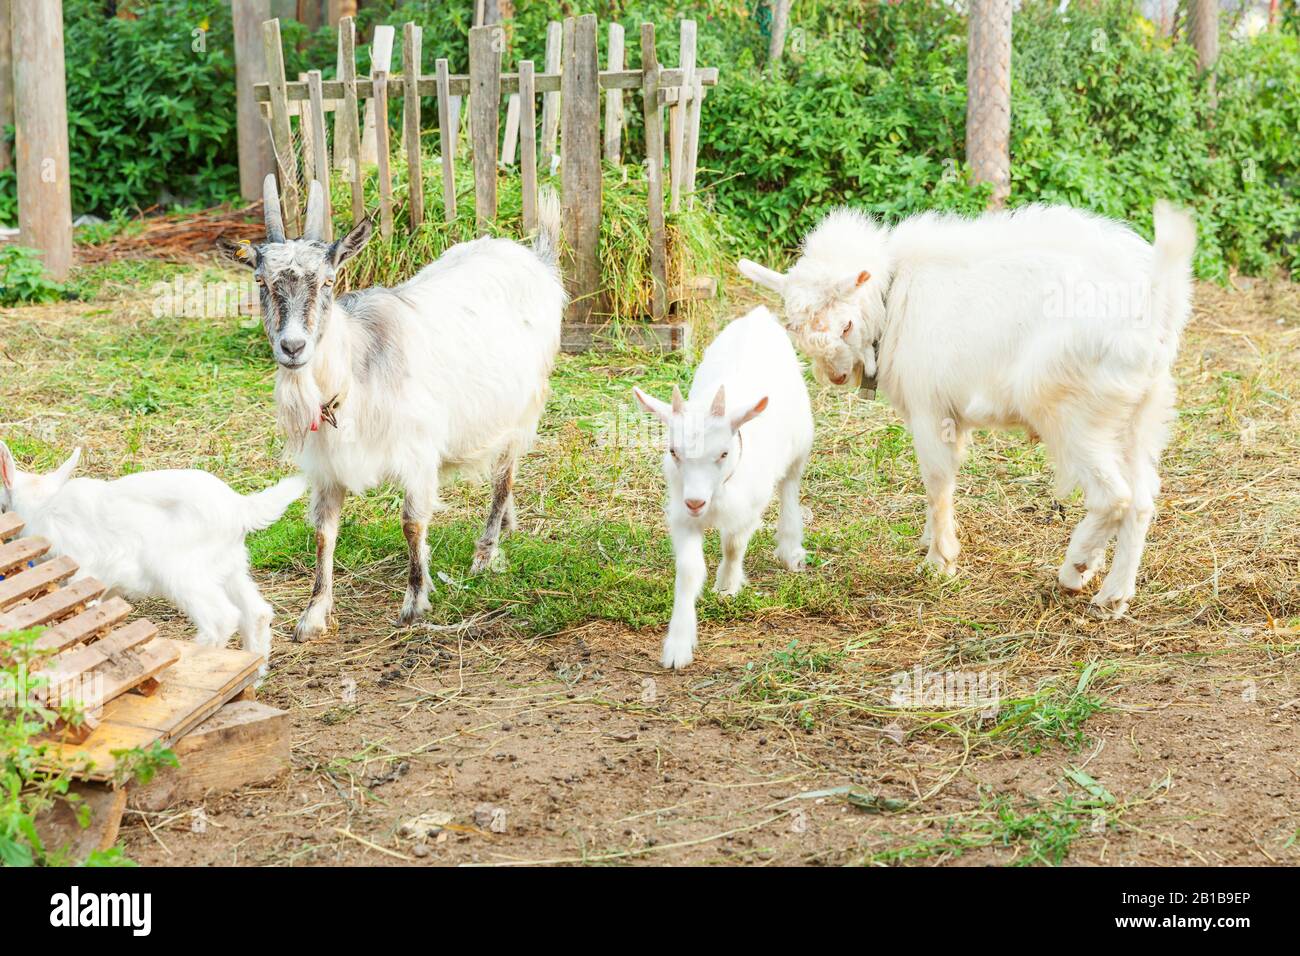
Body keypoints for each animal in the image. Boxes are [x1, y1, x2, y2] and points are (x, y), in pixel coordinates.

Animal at [0, 442, 303, 671]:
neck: (42, 507)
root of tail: (240, 507)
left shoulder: (82, 573)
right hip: (229, 567)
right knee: (257, 613)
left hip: (181, 572)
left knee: (221, 618)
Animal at [218, 176, 565, 639]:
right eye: (260, 280)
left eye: (328, 281)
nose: (293, 347)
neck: (353, 374)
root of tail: (537, 259)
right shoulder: (326, 468)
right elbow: (323, 532)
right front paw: (314, 614)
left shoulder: (417, 452)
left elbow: (411, 522)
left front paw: (415, 604)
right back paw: (508, 525)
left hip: (523, 405)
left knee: (504, 475)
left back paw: (486, 552)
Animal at [633, 306, 813, 668]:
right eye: (673, 451)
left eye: (724, 453)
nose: (695, 502)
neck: (716, 495)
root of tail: (758, 315)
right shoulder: (682, 517)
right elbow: (689, 570)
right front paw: (678, 644)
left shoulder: (748, 509)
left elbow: (733, 546)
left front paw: (727, 586)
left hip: (801, 442)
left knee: (790, 486)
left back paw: (790, 549)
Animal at [738, 201, 1196, 618]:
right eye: (795, 327)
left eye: (846, 325)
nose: (834, 376)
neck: (895, 297)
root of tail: (1153, 306)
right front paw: (930, 540)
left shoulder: (930, 410)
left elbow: (938, 479)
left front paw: (940, 561)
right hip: (1138, 416)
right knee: (1141, 499)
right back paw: (1113, 596)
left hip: (1074, 416)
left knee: (1112, 496)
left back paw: (1075, 571)